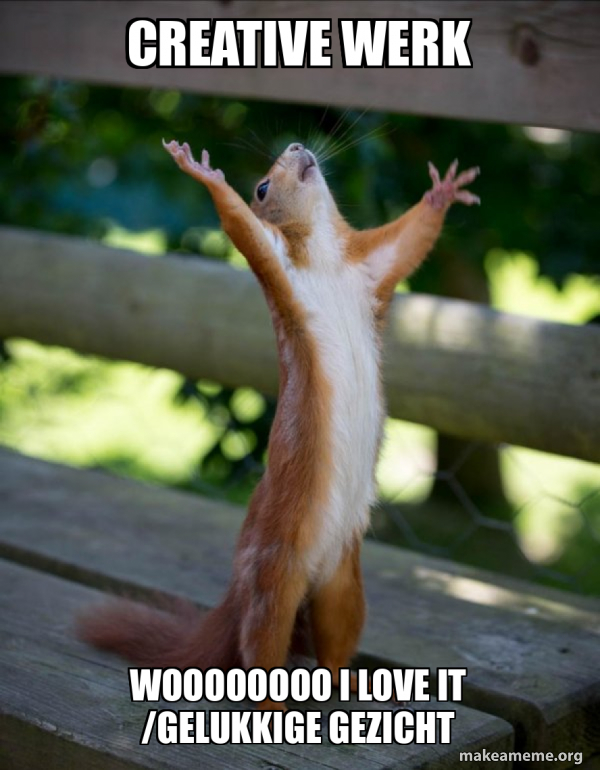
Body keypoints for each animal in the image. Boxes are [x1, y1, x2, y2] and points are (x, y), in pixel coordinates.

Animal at [78, 139, 479, 711]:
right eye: (262, 187)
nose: (296, 146)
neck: (327, 259)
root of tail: (240, 590)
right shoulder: (277, 265)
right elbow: (240, 226)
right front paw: (203, 173)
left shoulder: (372, 267)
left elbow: (410, 240)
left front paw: (443, 191)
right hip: (273, 581)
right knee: (261, 650)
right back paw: (275, 706)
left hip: (344, 586)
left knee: (335, 640)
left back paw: (346, 681)